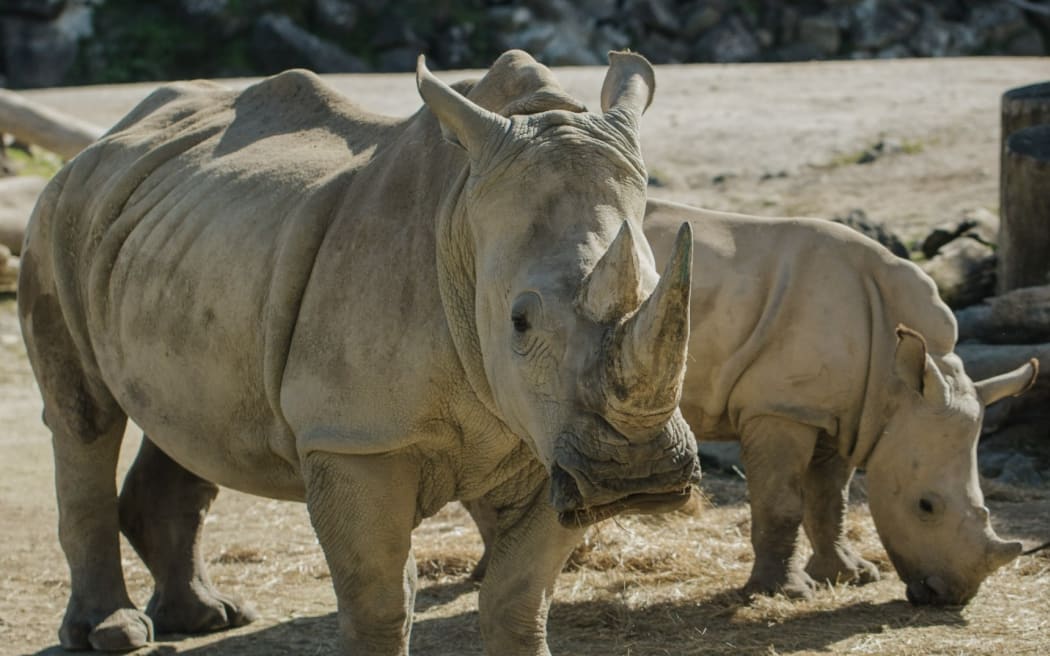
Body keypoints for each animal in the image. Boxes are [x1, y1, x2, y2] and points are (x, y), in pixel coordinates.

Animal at [17, 51, 702, 655]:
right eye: (520, 321)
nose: (637, 475)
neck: (461, 218)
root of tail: (110, 136)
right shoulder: (354, 437)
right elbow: (381, 599)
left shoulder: (550, 443)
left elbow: (518, 598)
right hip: (59, 212)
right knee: (85, 417)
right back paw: (115, 633)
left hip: (176, 241)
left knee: (185, 414)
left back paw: (208, 617)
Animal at [471, 199, 1038, 606]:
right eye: (926, 506)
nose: (951, 596)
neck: (899, 380)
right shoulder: (779, 408)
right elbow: (782, 500)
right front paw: (782, 595)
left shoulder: (844, 412)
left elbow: (830, 499)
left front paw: (851, 577)